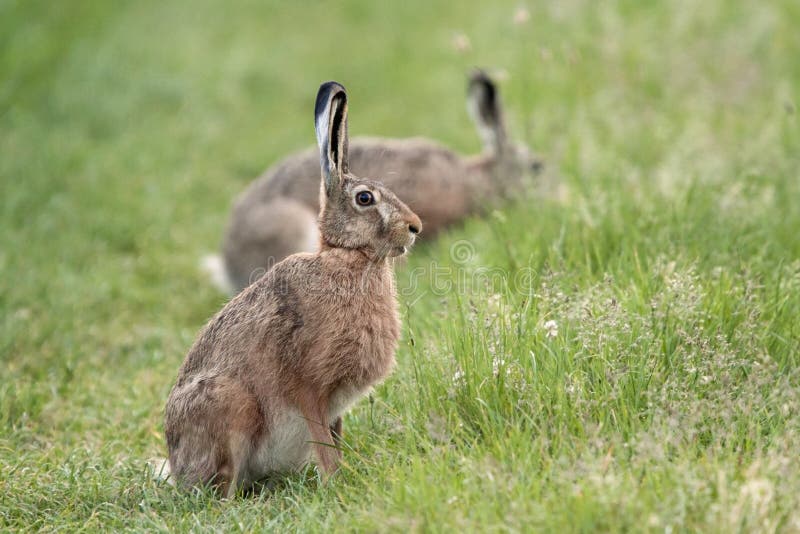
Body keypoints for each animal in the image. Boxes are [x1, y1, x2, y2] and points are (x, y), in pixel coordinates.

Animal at [164, 81, 422, 497]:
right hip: (228, 403)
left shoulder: (336, 405)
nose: (415, 226)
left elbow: (335, 437)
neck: (346, 256)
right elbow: (324, 443)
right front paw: (337, 484)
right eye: (365, 198)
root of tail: (176, 467)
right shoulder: (309, 386)